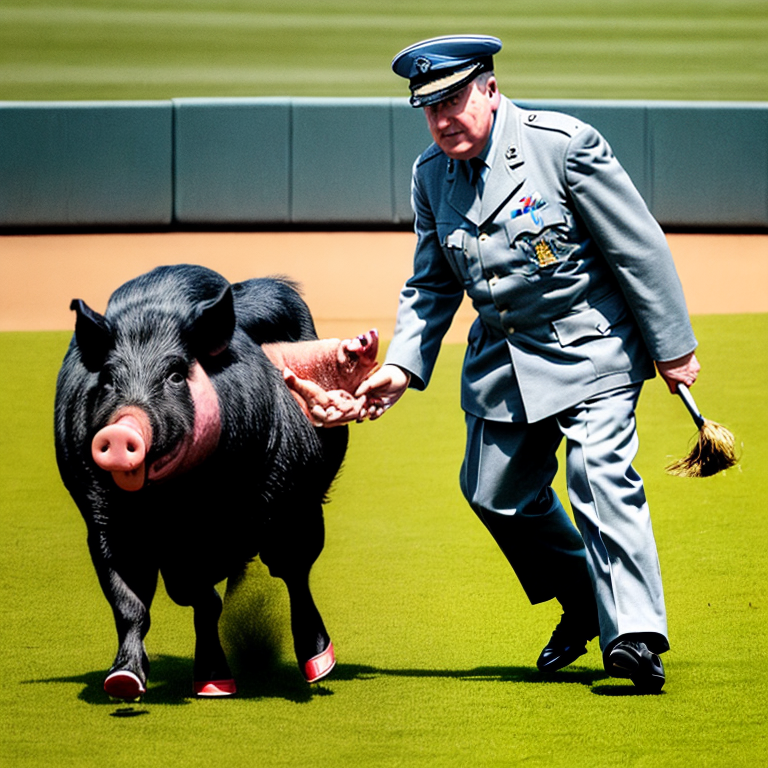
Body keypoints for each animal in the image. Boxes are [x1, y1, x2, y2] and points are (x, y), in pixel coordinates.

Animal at [54, 264, 365, 700]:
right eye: (110, 379)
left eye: (175, 375)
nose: (119, 431)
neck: (173, 505)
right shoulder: (101, 521)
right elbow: (131, 603)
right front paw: (123, 681)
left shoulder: (255, 511)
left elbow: (202, 587)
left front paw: (218, 685)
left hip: (302, 502)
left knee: (294, 570)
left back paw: (317, 667)